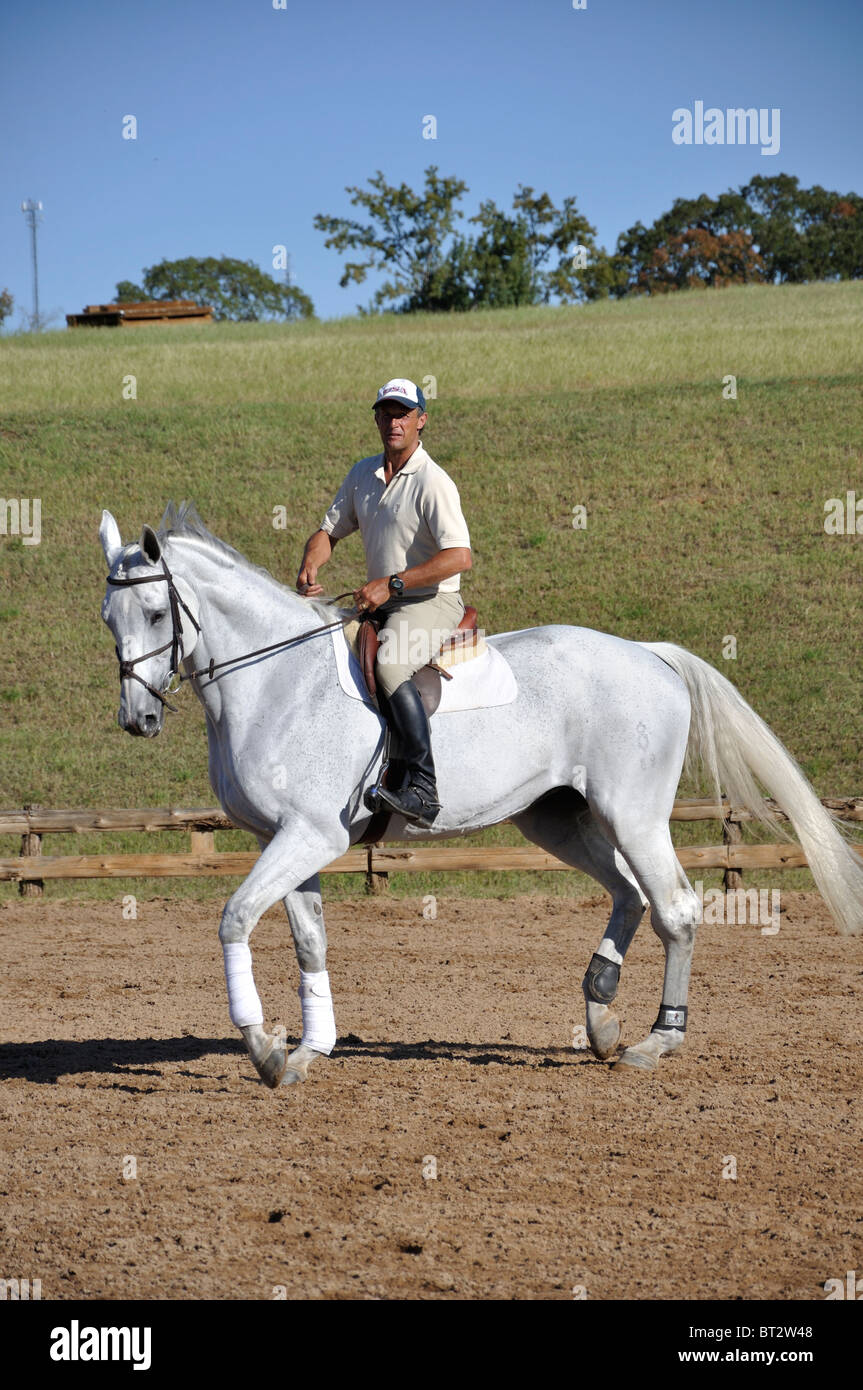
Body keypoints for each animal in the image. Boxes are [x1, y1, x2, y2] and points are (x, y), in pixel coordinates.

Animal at [99, 502, 863, 1089]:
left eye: (156, 612)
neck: (278, 681)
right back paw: (601, 1018)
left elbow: (233, 919)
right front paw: (309, 1051)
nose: (137, 720)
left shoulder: (309, 835)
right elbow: (309, 942)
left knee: (674, 906)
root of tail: (649, 653)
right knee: (628, 894)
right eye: (109, 618)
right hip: (555, 819)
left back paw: (654, 1042)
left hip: (633, 813)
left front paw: (262, 1050)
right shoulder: (284, 840)